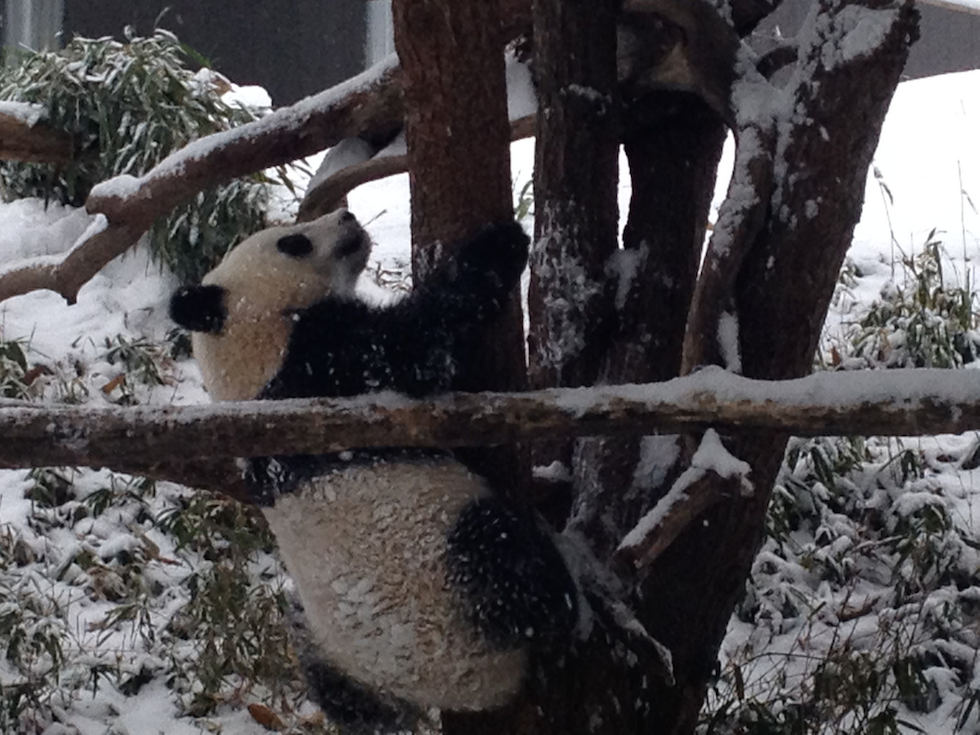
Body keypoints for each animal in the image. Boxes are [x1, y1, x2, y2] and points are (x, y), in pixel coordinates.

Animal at [168, 209, 580, 733]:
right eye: (293, 242)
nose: (347, 215)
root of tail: (471, 689)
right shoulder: (321, 368)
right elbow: (417, 344)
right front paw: (501, 244)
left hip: (332, 649)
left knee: (335, 684)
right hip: (449, 567)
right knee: (506, 562)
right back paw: (564, 602)